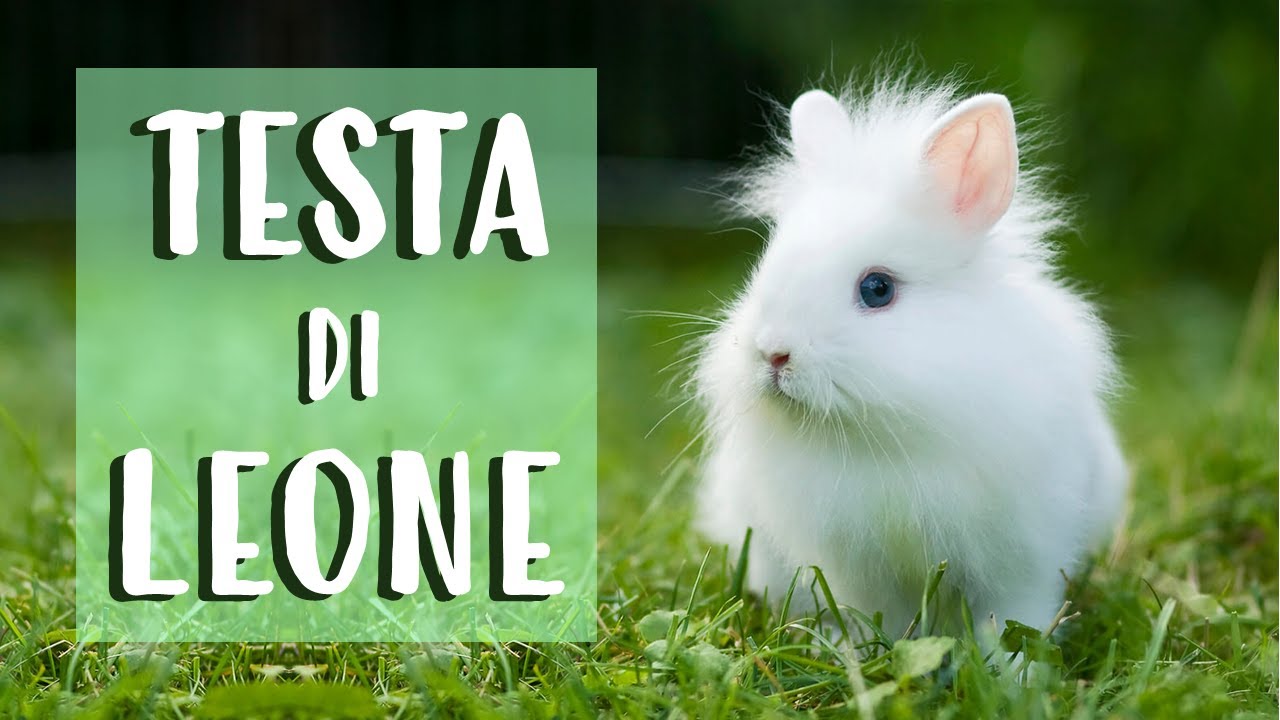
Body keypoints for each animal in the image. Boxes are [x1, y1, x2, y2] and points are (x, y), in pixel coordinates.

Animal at [693, 78, 1128, 642]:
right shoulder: (851, 563)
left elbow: (1013, 615)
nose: (773, 352)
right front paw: (858, 648)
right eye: (764, 267)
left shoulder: (1026, 555)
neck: (886, 439)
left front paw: (1010, 664)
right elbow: (873, 612)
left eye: (877, 289)